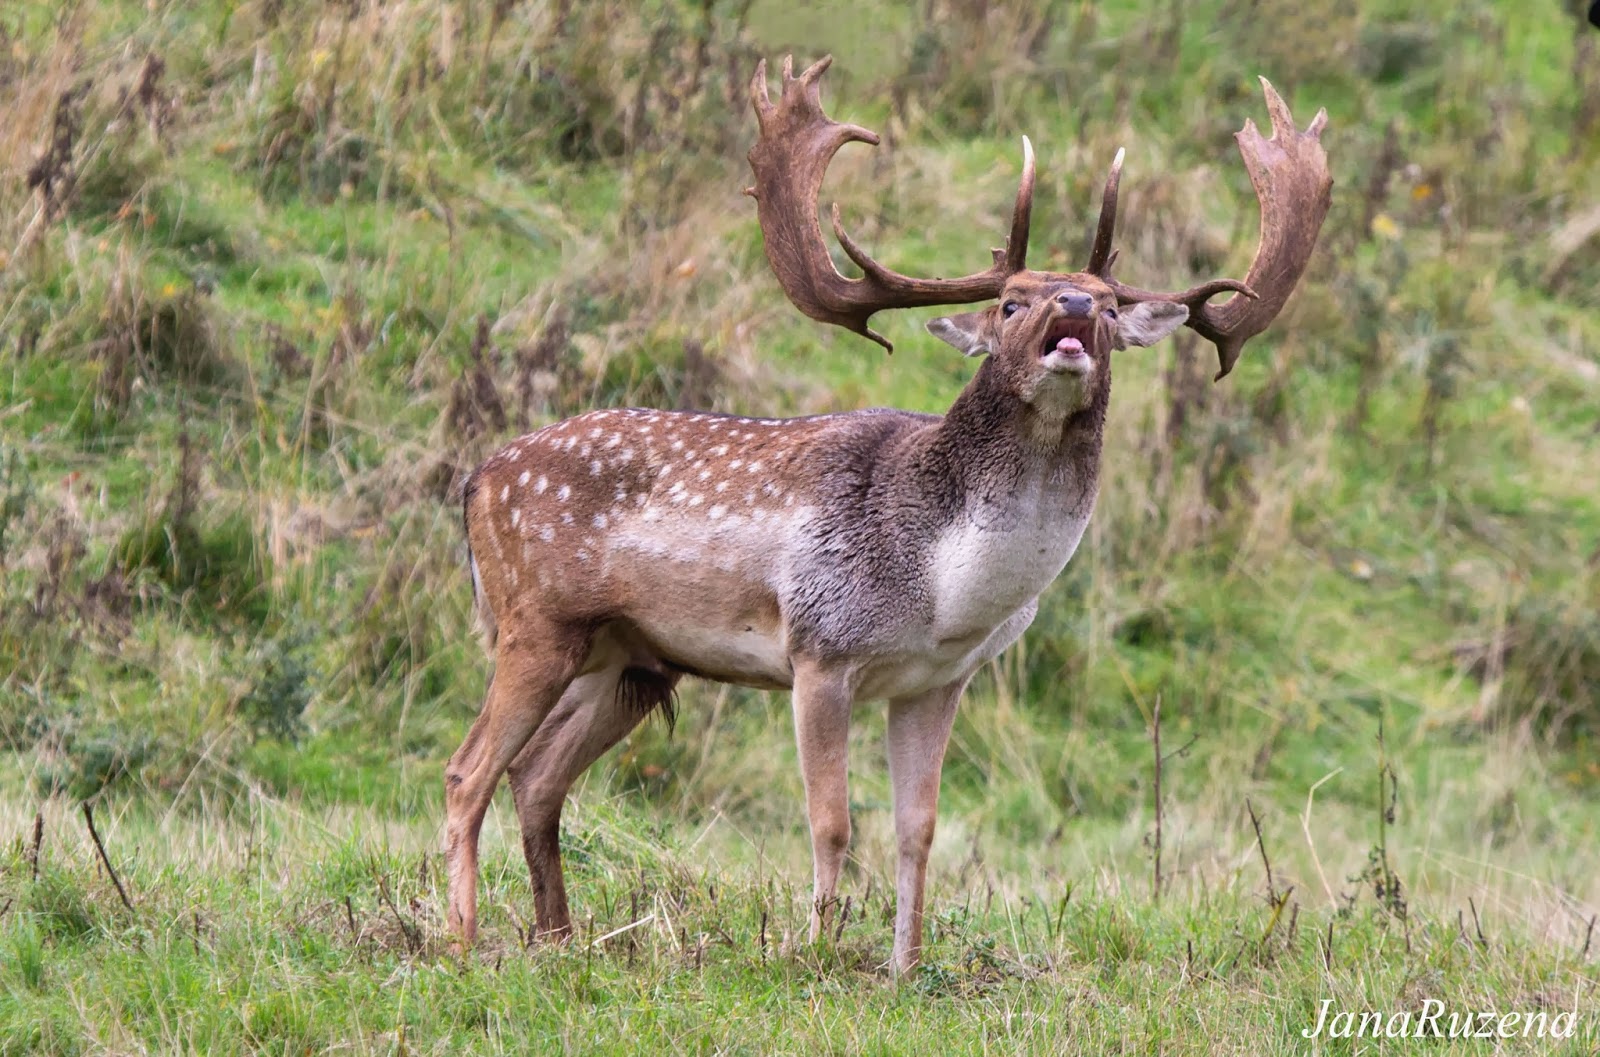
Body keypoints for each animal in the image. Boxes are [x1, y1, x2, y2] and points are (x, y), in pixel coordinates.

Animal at [444, 55, 1330, 975]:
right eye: (1011, 302)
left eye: (1113, 306)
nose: (1075, 311)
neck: (942, 590)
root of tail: (475, 482)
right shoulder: (819, 648)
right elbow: (832, 822)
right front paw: (814, 950)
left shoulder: (939, 681)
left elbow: (919, 828)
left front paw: (904, 964)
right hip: (534, 618)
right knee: (466, 769)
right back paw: (463, 938)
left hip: (632, 657)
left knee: (535, 774)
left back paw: (557, 936)